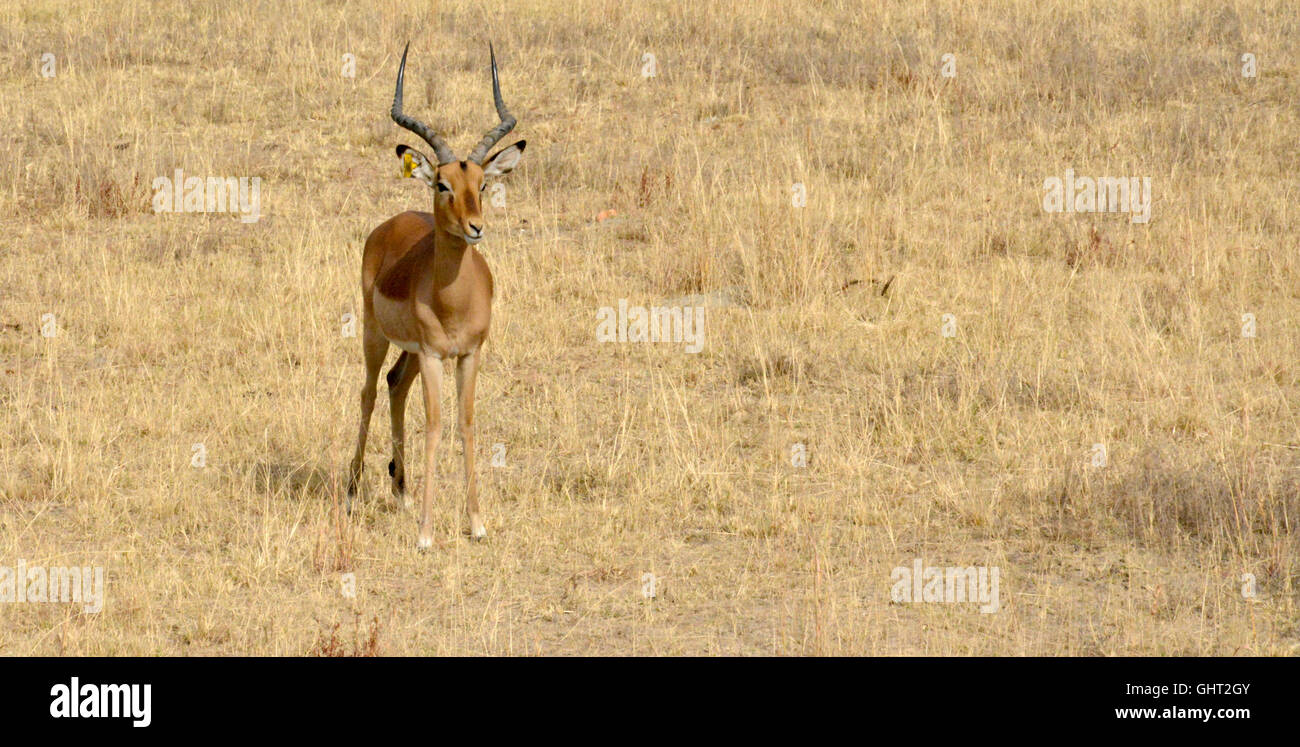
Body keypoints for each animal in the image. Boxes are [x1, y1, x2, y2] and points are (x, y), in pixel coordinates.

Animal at [348, 42, 525, 548]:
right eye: (443, 184)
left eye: (482, 184)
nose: (475, 227)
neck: (453, 302)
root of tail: (392, 223)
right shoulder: (432, 355)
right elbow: (434, 424)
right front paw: (427, 534)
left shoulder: (468, 354)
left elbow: (464, 423)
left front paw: (477, 524)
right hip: (375, 334)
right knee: (369, 390)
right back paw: (352, 489)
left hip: (409, 351)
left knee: (394, 384)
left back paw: (402, 491)